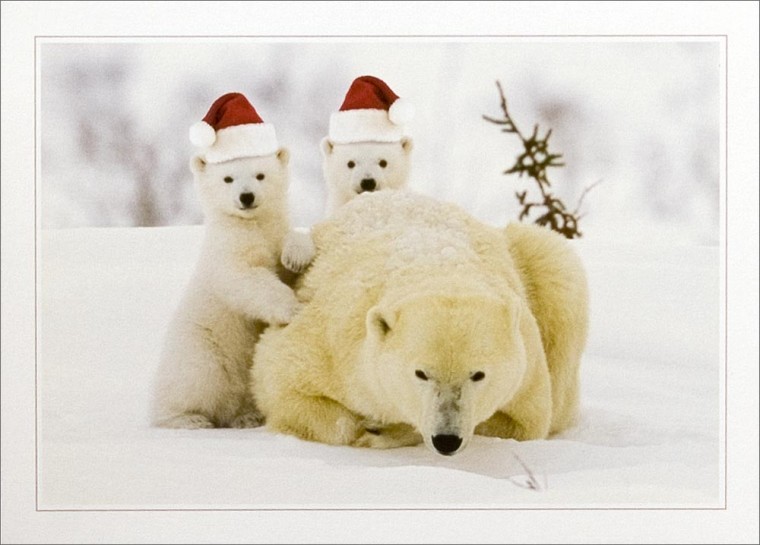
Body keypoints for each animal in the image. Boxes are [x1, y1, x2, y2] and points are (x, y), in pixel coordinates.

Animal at [151, 92, 310, 429]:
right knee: (194, 379)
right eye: (228, 178)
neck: (249, 225)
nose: (246, 197)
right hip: (199, 346)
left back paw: (247, 416)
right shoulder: (227, 253)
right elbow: (247, 278)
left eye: (260, 175)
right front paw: (291, 309)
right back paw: (188, 419)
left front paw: (295, 257)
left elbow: (287, 251)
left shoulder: (272, 229)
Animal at [251, 190, 589, 455]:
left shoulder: (526, 366)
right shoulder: (330, 341)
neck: (438, 268)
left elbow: (526, 422)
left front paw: (386, 430)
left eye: (478, 374)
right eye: (421, 373)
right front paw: (368, 427)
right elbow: (278, 380)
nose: (447, 439)